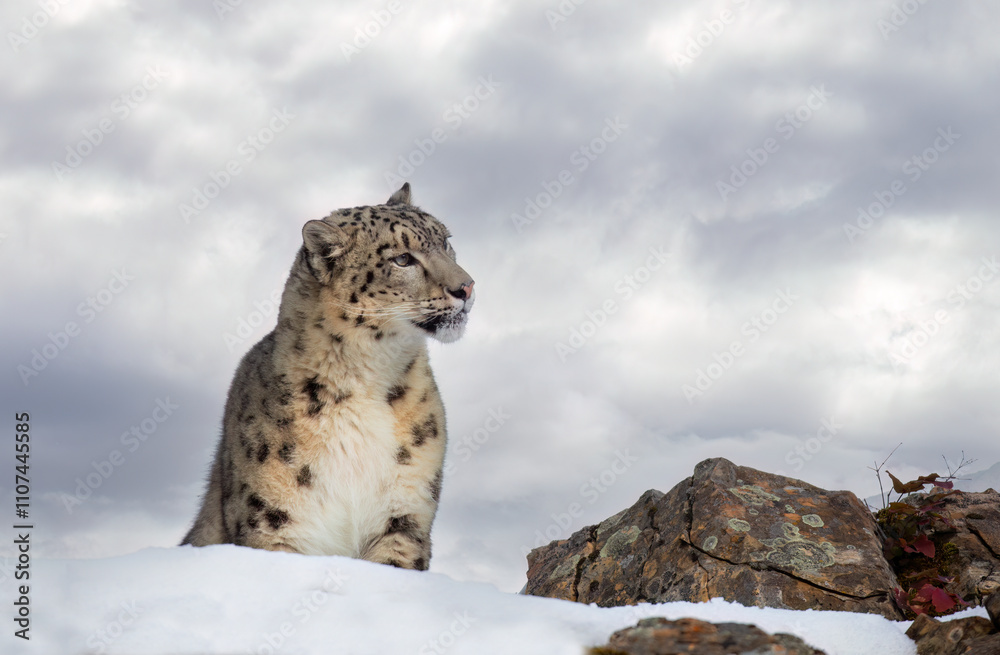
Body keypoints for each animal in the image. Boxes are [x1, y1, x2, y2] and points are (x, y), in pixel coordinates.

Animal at [180, 183, 474, 571]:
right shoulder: (273, 519)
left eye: (446, 242)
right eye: (402, 259)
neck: (366, 378)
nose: (467, 287)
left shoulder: (404, 515)